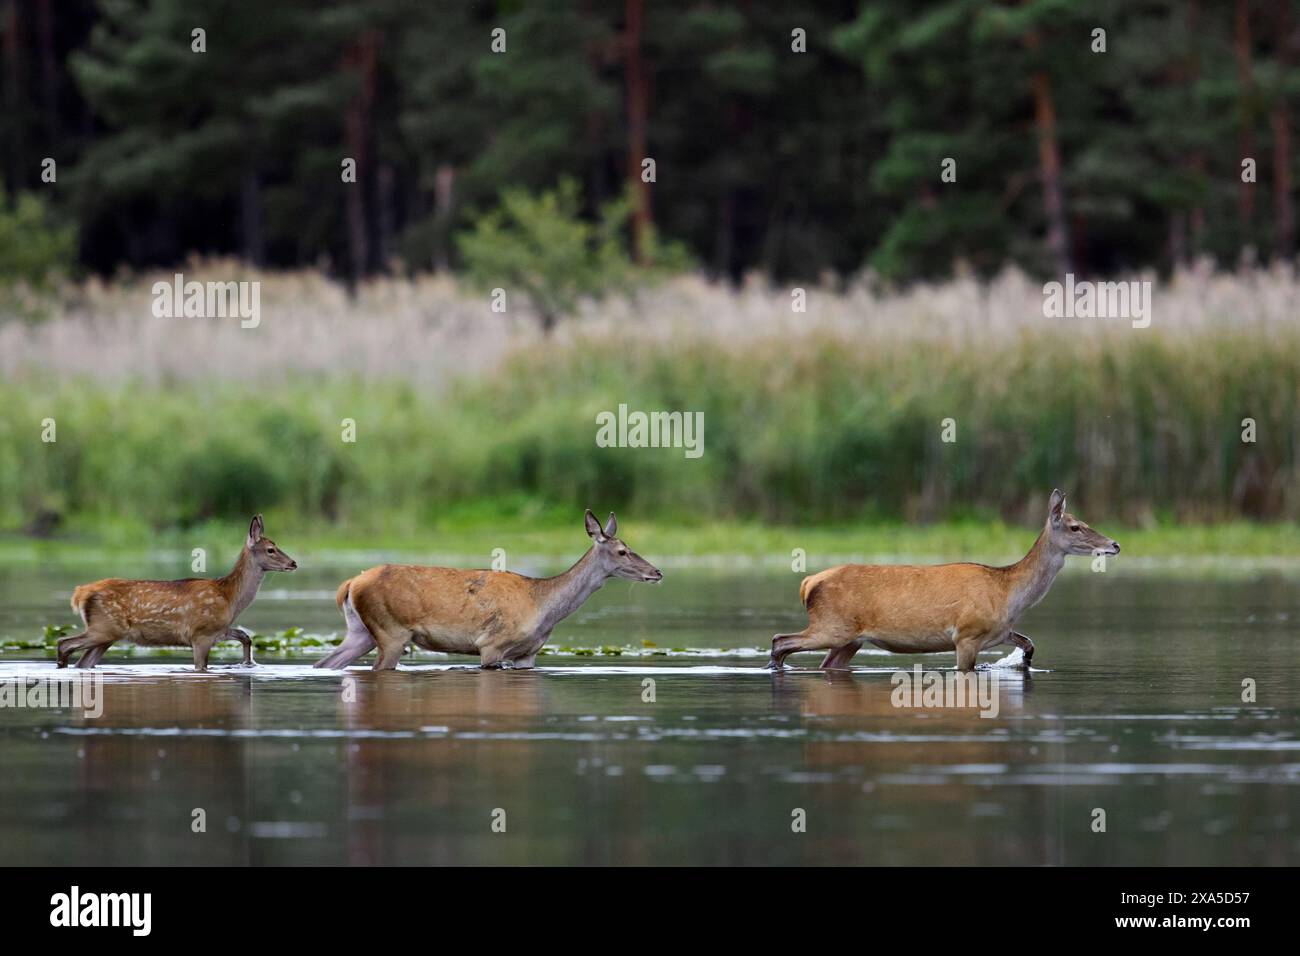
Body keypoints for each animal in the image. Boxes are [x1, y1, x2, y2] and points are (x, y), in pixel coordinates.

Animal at [57, 515, 298, 671]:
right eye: (271, 550)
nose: (293, 563)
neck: (230, 597)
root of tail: (81, 593)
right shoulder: (201, 634)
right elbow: (201, 667)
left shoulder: (218, 630)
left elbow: (245, 636)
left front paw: (248, 664)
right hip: (103, 627)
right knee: (64, 643)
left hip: (107, 634)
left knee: (82, 662)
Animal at [314, 509, 662, 671]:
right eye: (622, 551)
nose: (656, 572)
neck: (544, 606)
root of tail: (350, 584)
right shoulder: (492, 644)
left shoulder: (527, 654)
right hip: (391, 631)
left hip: (360, 632)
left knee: (325, 663)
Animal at [768, 489, 1119, 673]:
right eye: (1075, 526)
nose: (1114, 544)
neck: (1008, 594)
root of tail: (808, 583)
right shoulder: (967, 633)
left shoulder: (998, 632)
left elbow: (1029, 643)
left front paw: (1023, 665)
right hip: (832, 625)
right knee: (780, 640)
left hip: (849, 639)